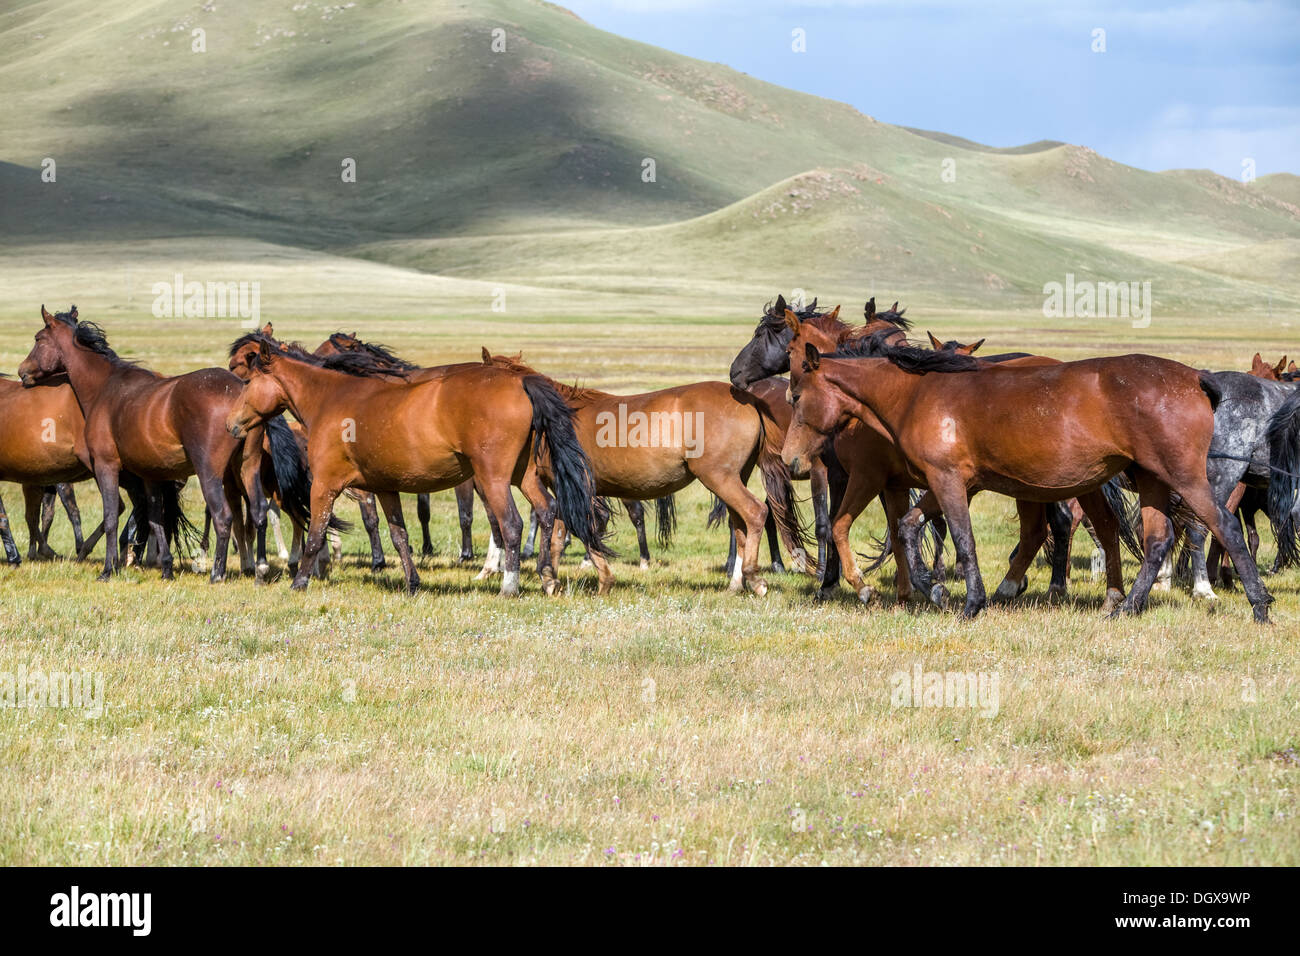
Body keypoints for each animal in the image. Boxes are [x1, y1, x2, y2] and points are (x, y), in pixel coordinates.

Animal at [19, 307, 302, 582]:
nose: (23, 371)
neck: (105, 388)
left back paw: (217, 574)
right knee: (259, 512)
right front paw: (166, 568)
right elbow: (156, 519)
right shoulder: (151, 475)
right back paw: (260, 570)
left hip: (210, 473)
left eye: (38, 339)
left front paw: (109, 570)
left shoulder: (105, 466)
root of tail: (240, 389)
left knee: (223, 517)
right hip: (246, 467)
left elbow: (111, 518)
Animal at [224, 334, 608, 596]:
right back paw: (547, 578)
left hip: (493, 479)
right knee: (547, 511)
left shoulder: (325, 486)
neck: (331, 398)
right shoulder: (384, 487)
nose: (231, 423)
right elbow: (399, 536)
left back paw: (508, 586)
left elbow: (317, 534)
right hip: (523, 476)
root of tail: (519, 380)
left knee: (511, 524)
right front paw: (412, 582)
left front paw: (300, 582)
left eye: (247, 378)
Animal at [483, 351, 808, 596]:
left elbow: (582, 529)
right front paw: (553, 580)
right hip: (734, 479)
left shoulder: (578, 488)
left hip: (720, 478)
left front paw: (596, 579)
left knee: (755, 514)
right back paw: (736, 583)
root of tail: (751, 401)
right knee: (740, 525)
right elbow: (560, 533)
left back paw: (754, 577)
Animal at [782, 331, 1272, 622]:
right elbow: (907, 528)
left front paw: (970, 603)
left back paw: (1259, 605)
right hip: (1150, 480)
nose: (790, 460)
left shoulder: (947, 482)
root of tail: (1195, 378)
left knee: (1223, 527)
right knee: (1155, 541)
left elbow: (962, 541)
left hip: (1185, 478)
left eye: (795, 395)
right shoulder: (947, 484)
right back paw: (1126, 606)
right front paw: (931, 589)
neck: (918, 393)